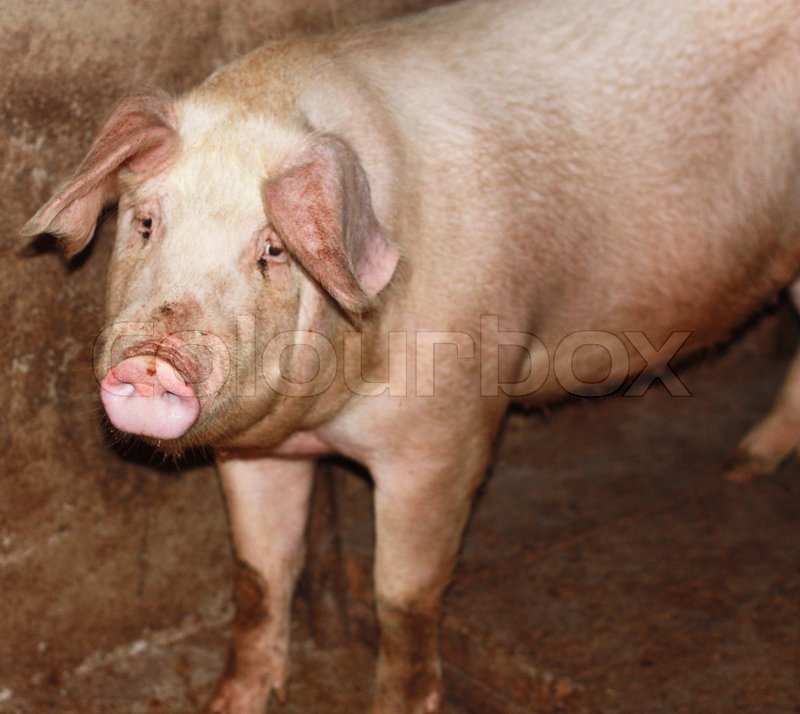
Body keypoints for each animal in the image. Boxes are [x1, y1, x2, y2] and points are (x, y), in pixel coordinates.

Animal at [22, 0, 800, 711]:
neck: (323, 416)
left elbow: (402, 597)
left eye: (273, 250)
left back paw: (741, 466)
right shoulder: (254, 450)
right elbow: (258, 575)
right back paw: (742, 467)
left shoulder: (447, 435)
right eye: (147, 222)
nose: (153, 360)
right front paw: (229, 702)